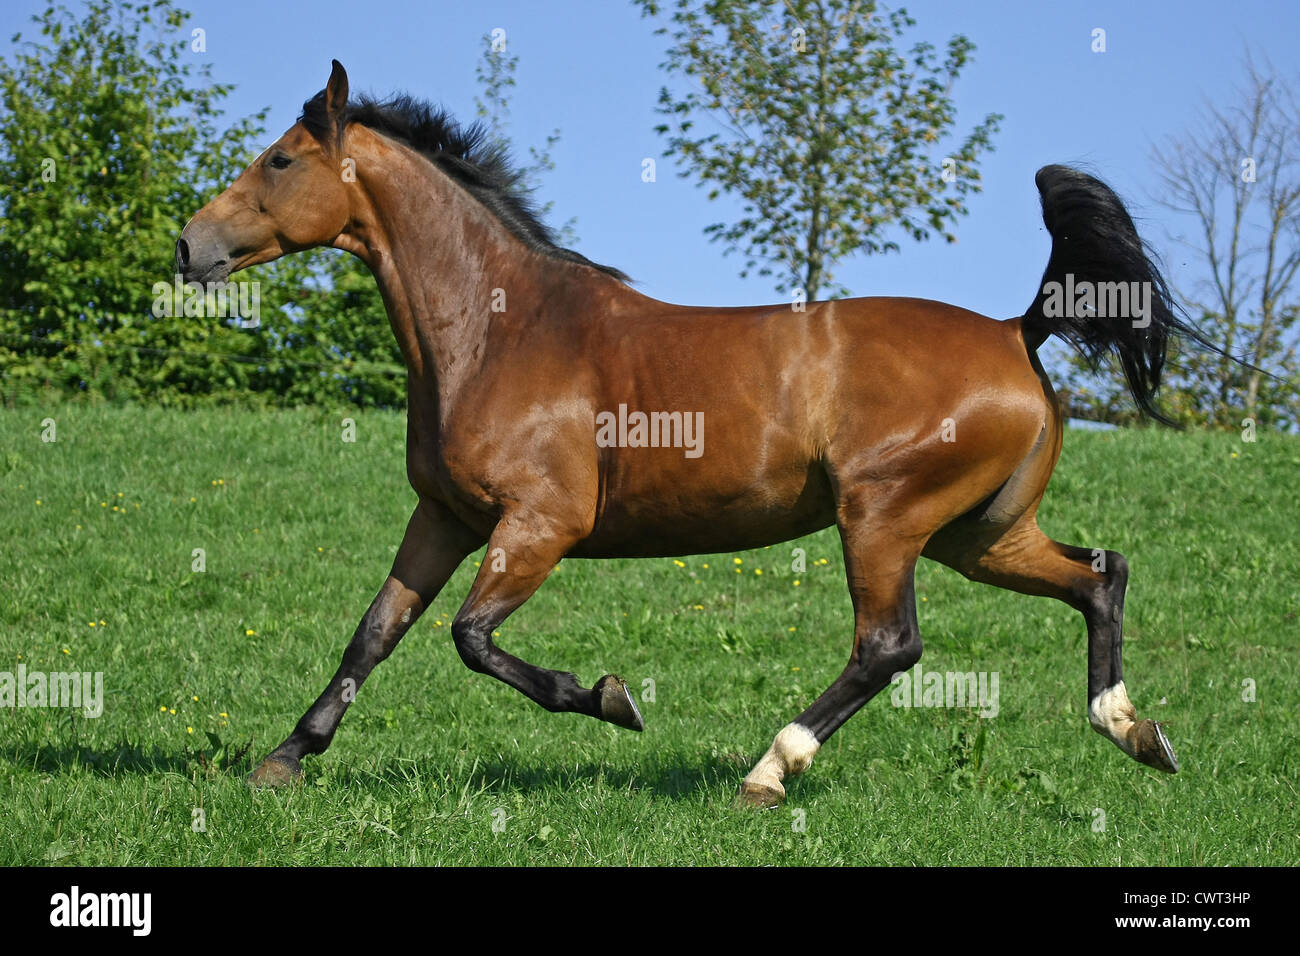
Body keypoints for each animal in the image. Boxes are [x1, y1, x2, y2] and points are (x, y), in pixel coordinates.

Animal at [176, 61, 1185, 807]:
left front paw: (610, 700)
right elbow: (373, 634)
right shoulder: (445, 517)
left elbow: (470, 638)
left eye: (278, 160)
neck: (502, 330)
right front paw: (283, 759)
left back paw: (769, 771)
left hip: (886, 520)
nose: (190, 249)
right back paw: (1136, 732)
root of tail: (1017, 331)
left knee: (889, 647)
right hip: (977, 535)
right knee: (1099, 576)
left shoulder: (540, 525)